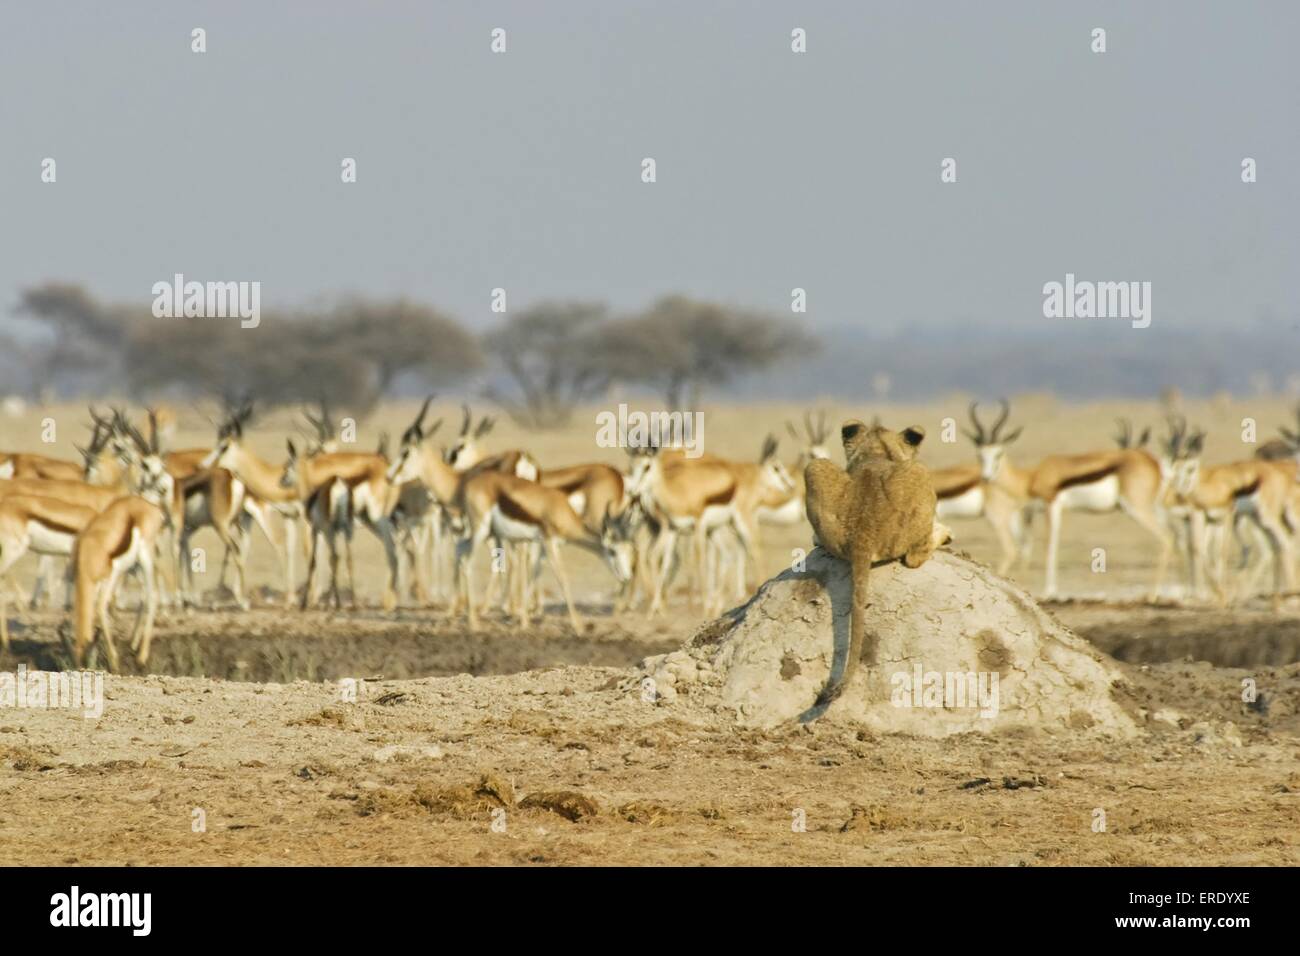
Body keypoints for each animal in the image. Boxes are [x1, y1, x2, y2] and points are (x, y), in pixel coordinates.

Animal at [803, 419, 951, 707]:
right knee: (914, 557)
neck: (876, 453)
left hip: (814, 468)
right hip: (922, 473)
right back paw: (944, 534)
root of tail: (863, 530)